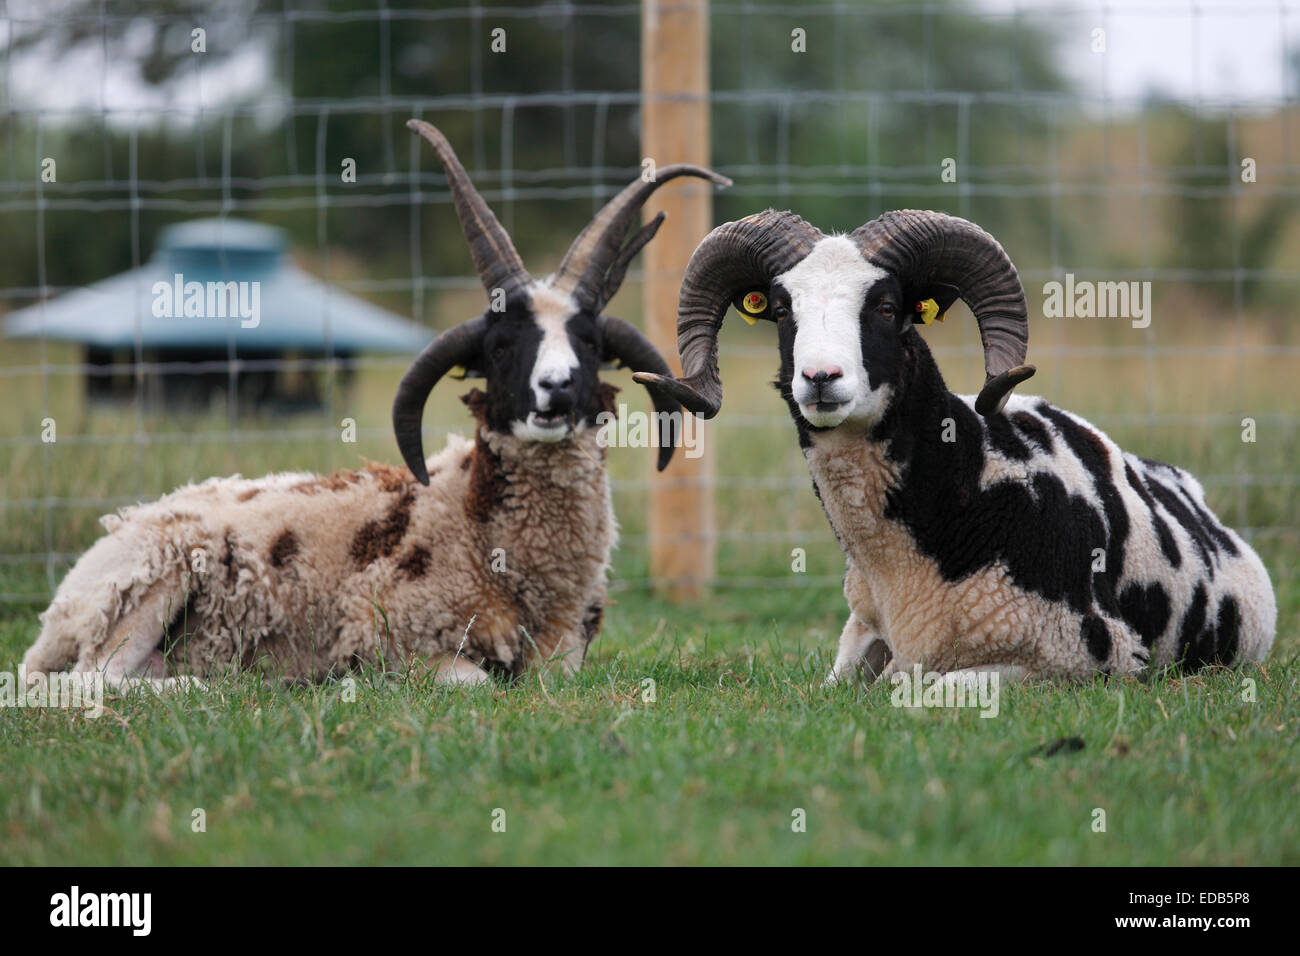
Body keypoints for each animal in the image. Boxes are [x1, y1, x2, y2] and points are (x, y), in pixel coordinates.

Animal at [21, 120, 730, 691]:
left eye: (587, 342)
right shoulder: (387, 635)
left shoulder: (563, 649)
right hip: (145, 584)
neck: (471, 519)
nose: (554, 388)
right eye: (502, 347)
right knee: (85, 681)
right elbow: (474, 683)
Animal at [636, 209, 1277, 684]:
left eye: (887, 307)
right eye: (779, 309)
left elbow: (922, 688)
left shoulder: (1089, 658)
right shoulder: (858, 638)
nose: (820, 378)